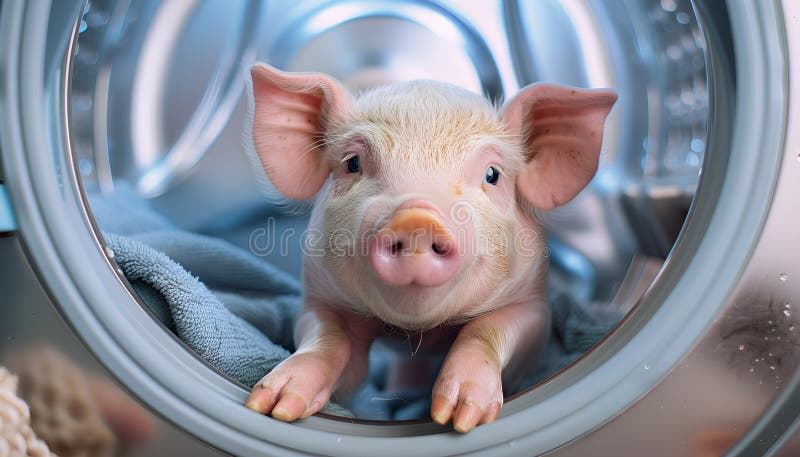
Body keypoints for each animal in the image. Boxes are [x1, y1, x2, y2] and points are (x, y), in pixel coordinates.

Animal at [243, 63, 616, 433]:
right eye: (352, 163)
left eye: (492, 174)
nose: (416, 220)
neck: (420, 330)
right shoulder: (320, 295)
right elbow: (328, 340)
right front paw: (272, 405)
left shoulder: (533, 302)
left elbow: (487, 331)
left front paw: (458, 416)